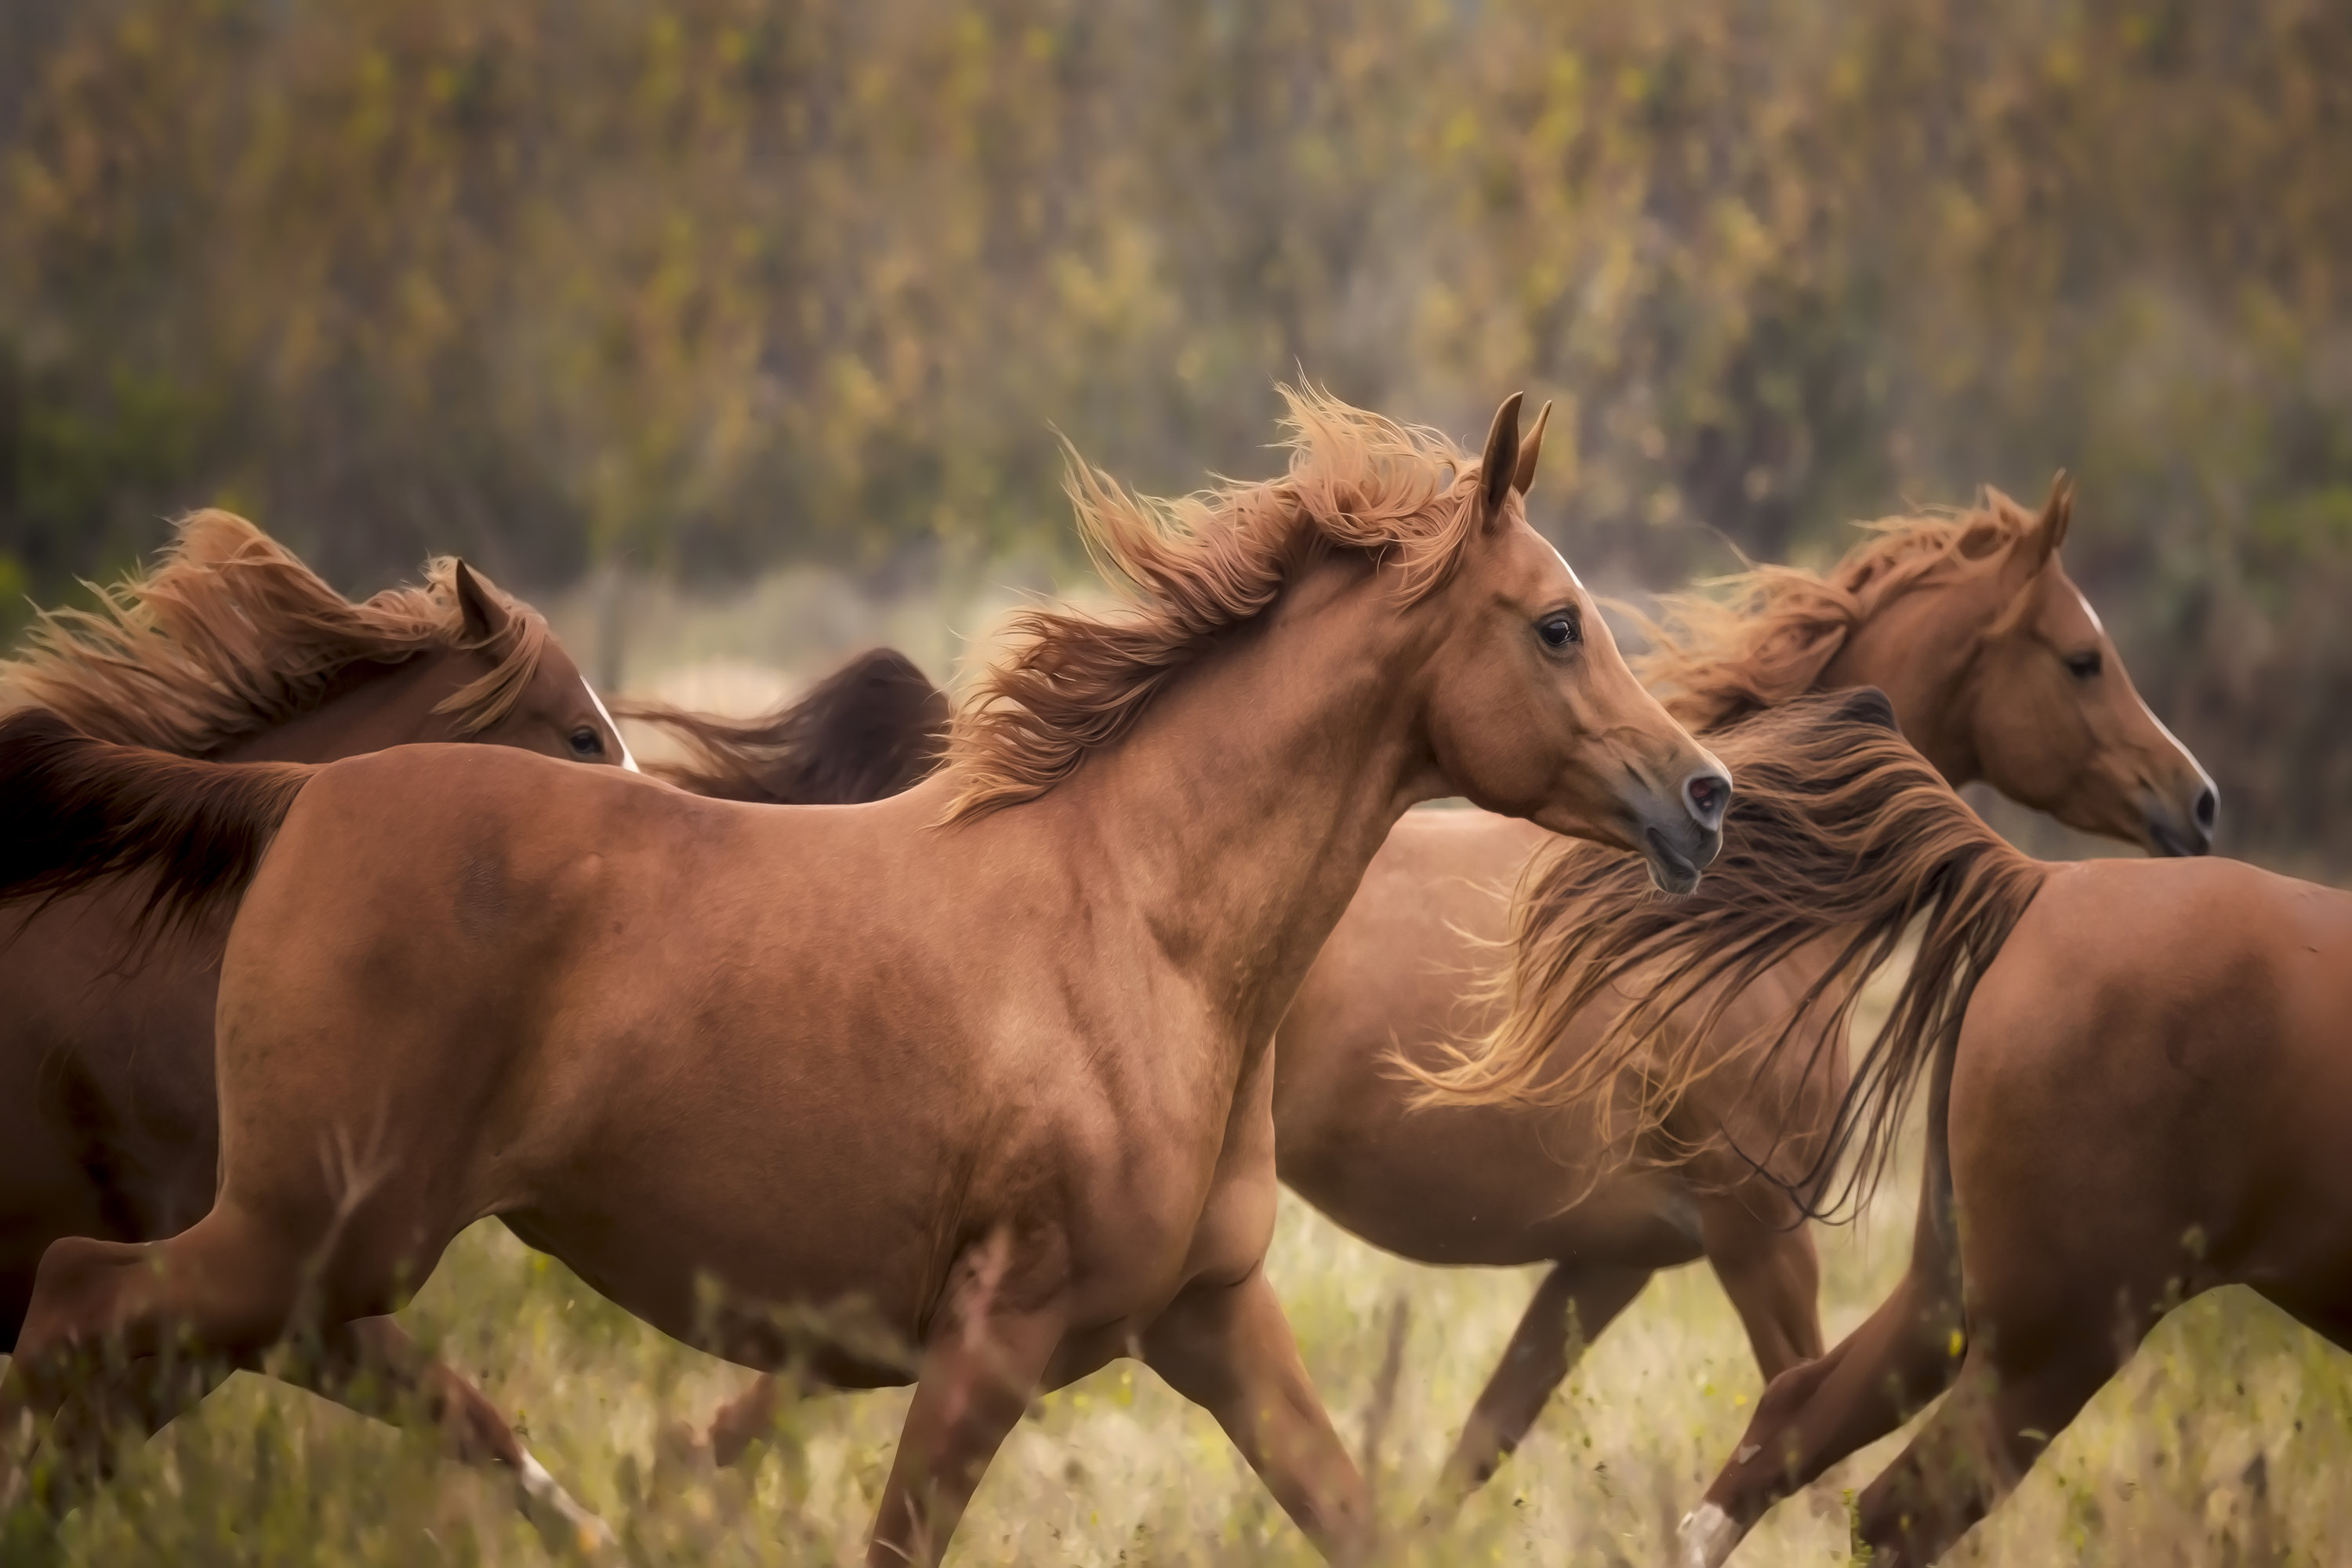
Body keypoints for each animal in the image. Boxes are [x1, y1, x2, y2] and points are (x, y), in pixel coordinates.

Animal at [1438, 689, 2347, 1568]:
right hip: (2053, 1335)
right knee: (1896, 1511)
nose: (2197, 804)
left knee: (1788, 1425)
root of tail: (2039, 882)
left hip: (1953, 1298)